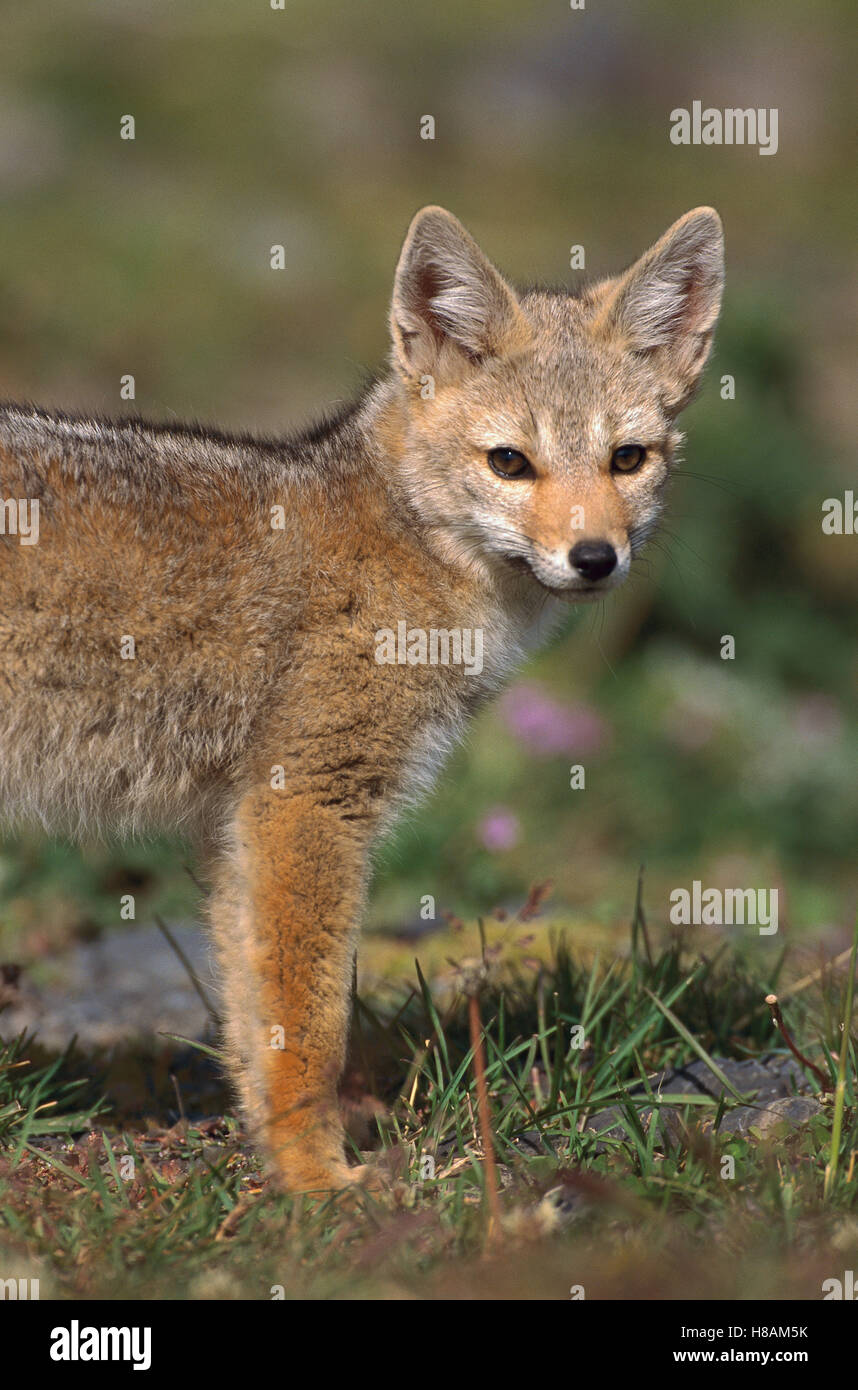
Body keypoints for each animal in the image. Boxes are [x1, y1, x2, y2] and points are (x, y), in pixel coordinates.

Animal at [0, 205, 723, 1191]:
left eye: (628, 459)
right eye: (510, 462)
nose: (594, 559)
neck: (404, 546)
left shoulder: (241, 821)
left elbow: (254, 1024)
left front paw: (276, 1161)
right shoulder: (309, 801)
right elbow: (310, 1030)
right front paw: (320, 1183)